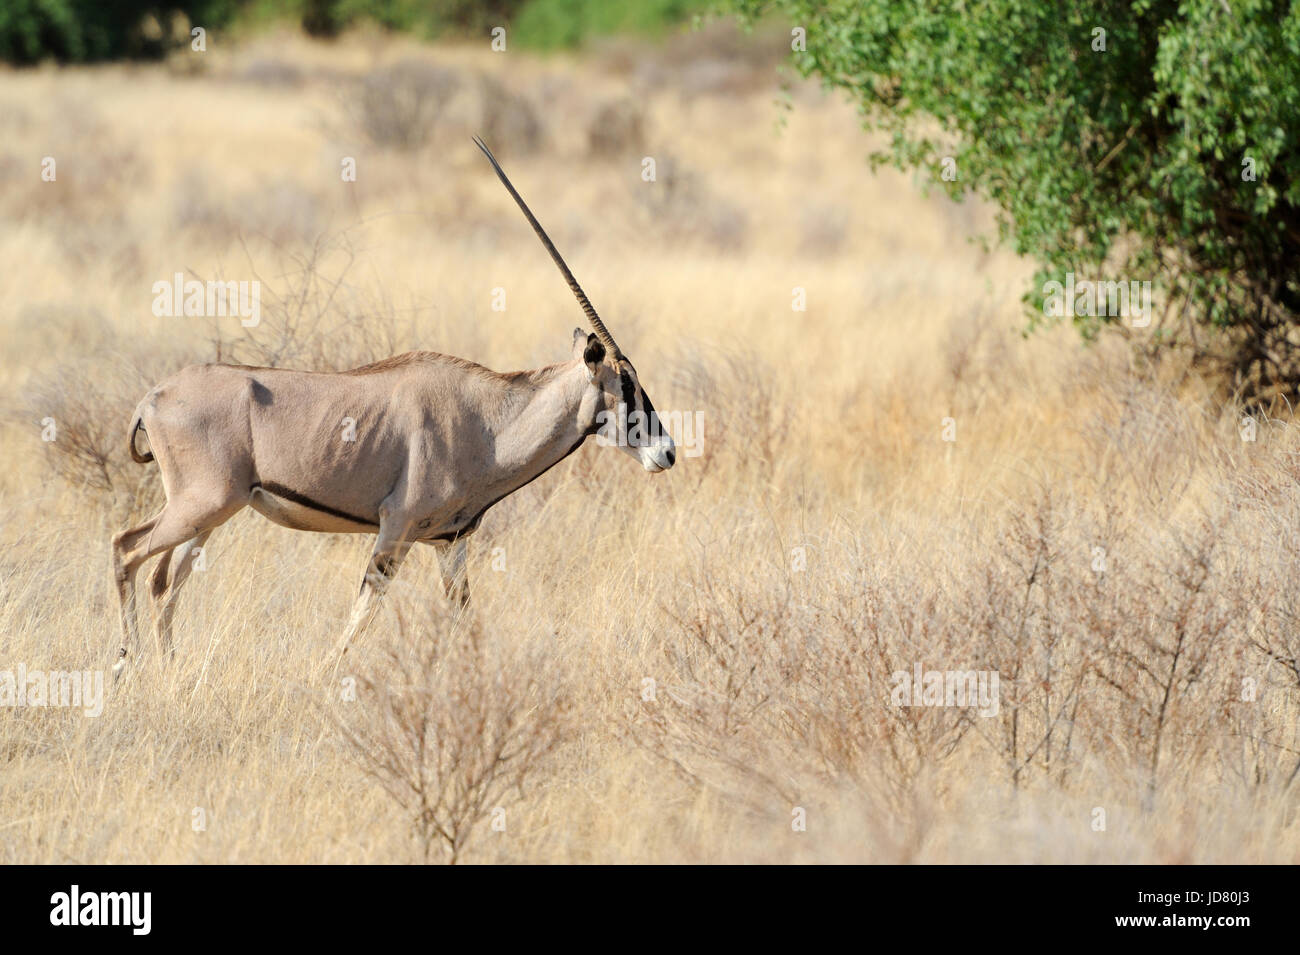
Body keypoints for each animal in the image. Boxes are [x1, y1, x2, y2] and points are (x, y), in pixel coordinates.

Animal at [110, 137, 676, 677]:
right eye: (626, 383)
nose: (667, 452)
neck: (489, 423)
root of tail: (152, 398)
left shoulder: (450, 543)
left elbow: (462, 620)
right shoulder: (395, 530)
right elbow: (362, 616)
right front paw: (324, 678)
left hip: (208, 515)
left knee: (163, 580)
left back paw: (170, 669)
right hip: (203, 505)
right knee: (126, 549)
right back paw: (124, 665)